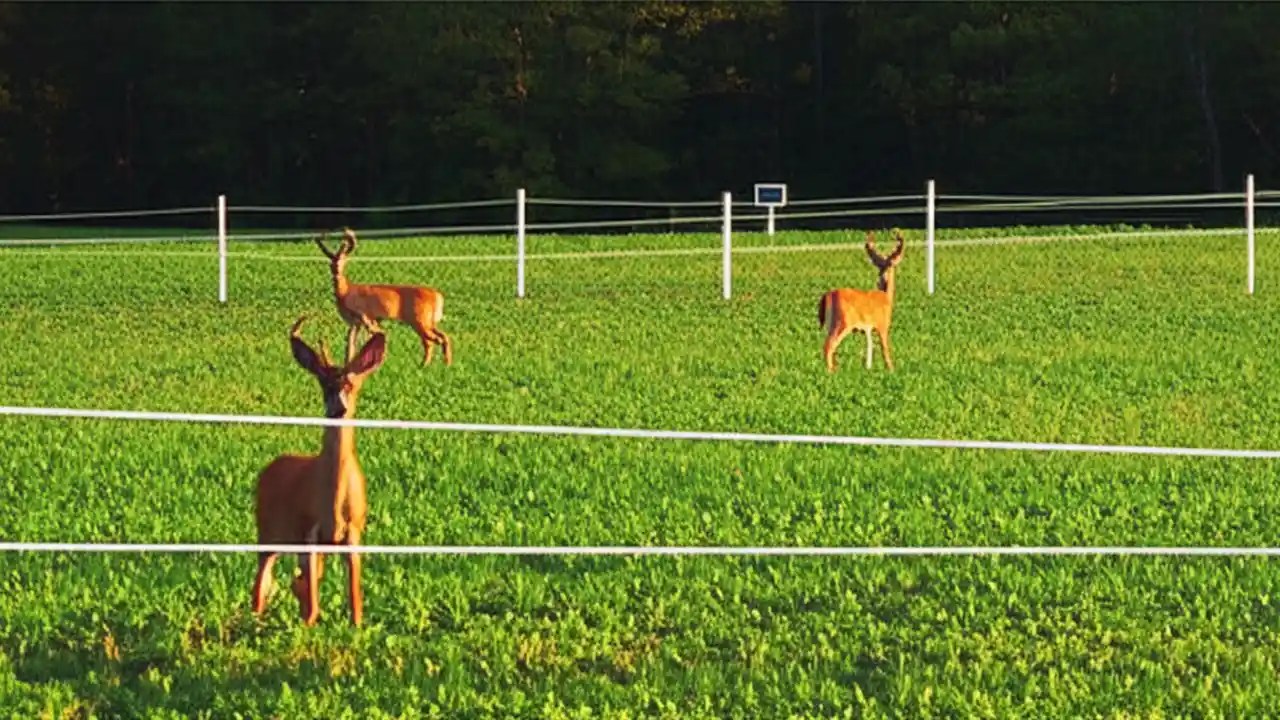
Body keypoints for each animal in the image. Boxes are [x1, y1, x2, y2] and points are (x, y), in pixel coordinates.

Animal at [251, 316, 386, 627]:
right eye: (324, 384)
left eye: (351, 384)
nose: (339, 408)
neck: (333, 502)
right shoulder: (308, 529)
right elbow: (313, 606)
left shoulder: (354, 532)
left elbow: (355, 601)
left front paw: (356, 627)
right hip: (267, 530)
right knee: (261, 583)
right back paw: (255, 620)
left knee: (294, 583)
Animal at [315, 227, 452, 367]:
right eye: (330, 263)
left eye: (343, 261)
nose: (336, 271)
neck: (346, 292)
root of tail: (437, 296)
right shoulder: (355, 322)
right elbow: (350, 345)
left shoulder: (365, 316)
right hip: (429, 321)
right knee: (443, 337)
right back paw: (444, 364)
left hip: (419, 319)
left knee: (431, 341)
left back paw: (427, 365)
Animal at [817, 229, 905, 373]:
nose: (882, 277)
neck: (886, 297)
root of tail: (827, 295)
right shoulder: (882, 325)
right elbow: (884, 348)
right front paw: (891, 369)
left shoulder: (867, 328)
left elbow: (869, 348)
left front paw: (867, 368)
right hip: (842, 322)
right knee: (829, 345)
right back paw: (832, 371)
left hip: (830, 324)